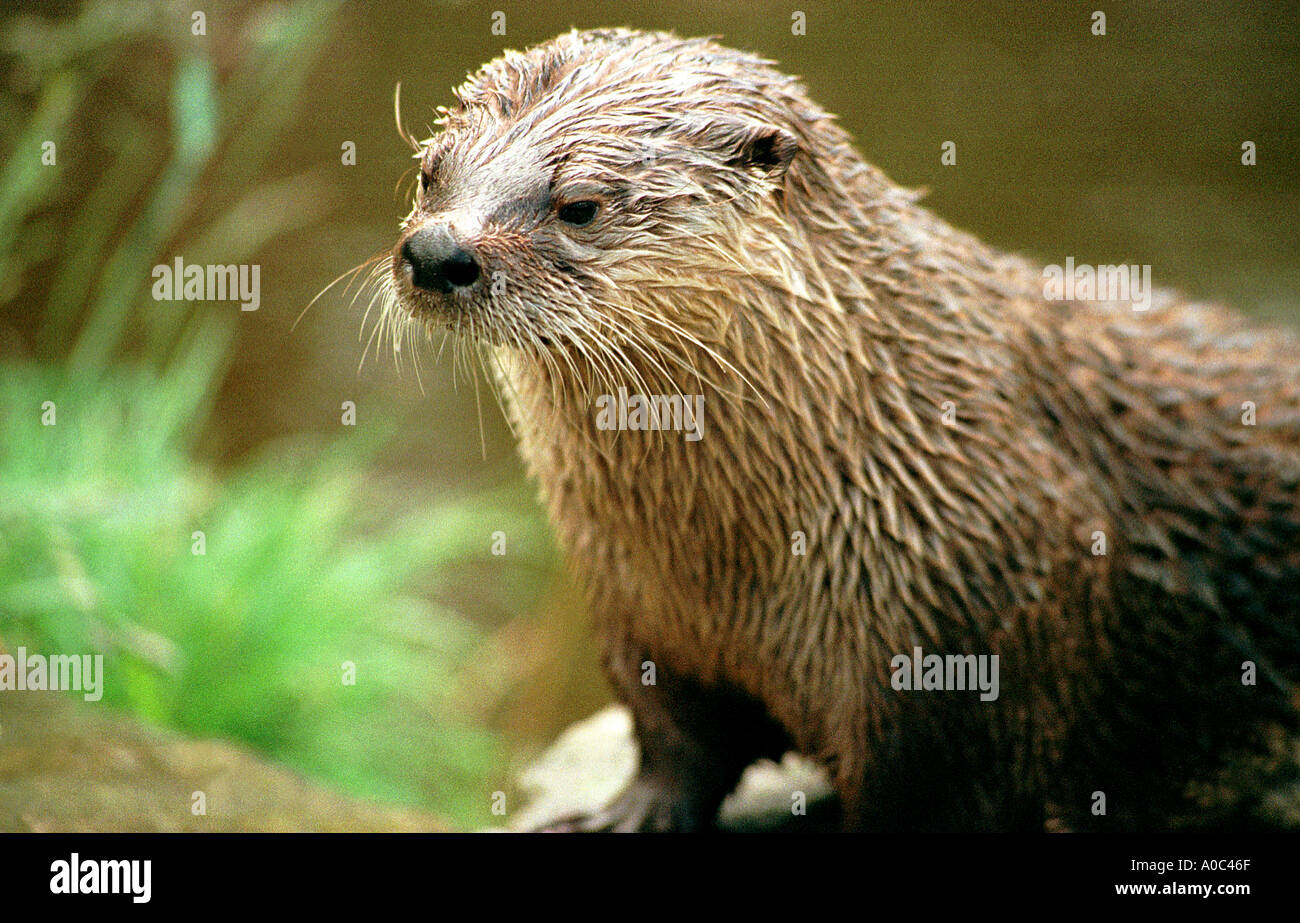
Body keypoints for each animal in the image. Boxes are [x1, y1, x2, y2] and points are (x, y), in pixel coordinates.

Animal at [386, 28, 1300, 831]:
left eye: (579, 204)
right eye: (430, 174)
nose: (435, 252)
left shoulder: (961, 664)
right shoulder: (639, 615)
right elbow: (674, 744)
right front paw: (622, 815)